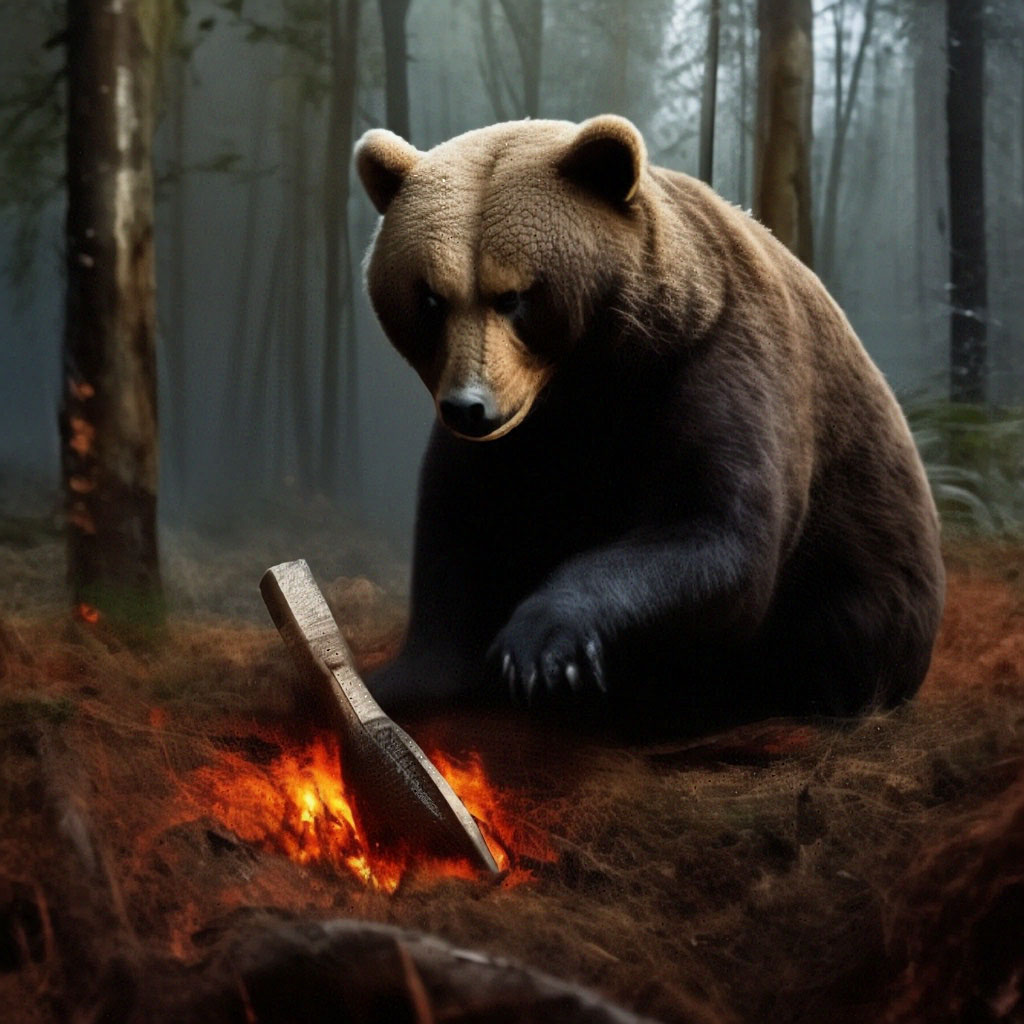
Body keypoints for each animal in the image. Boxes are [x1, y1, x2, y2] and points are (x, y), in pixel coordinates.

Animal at [354, 114, 945, 734]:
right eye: (430, 298)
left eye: (513, 295)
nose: (469, 406)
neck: (585, 378)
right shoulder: (510, 440)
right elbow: (457, 531)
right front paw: (407, 677)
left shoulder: (715, 360)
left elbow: (712, 530)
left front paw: (541, 647)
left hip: (866, 575)